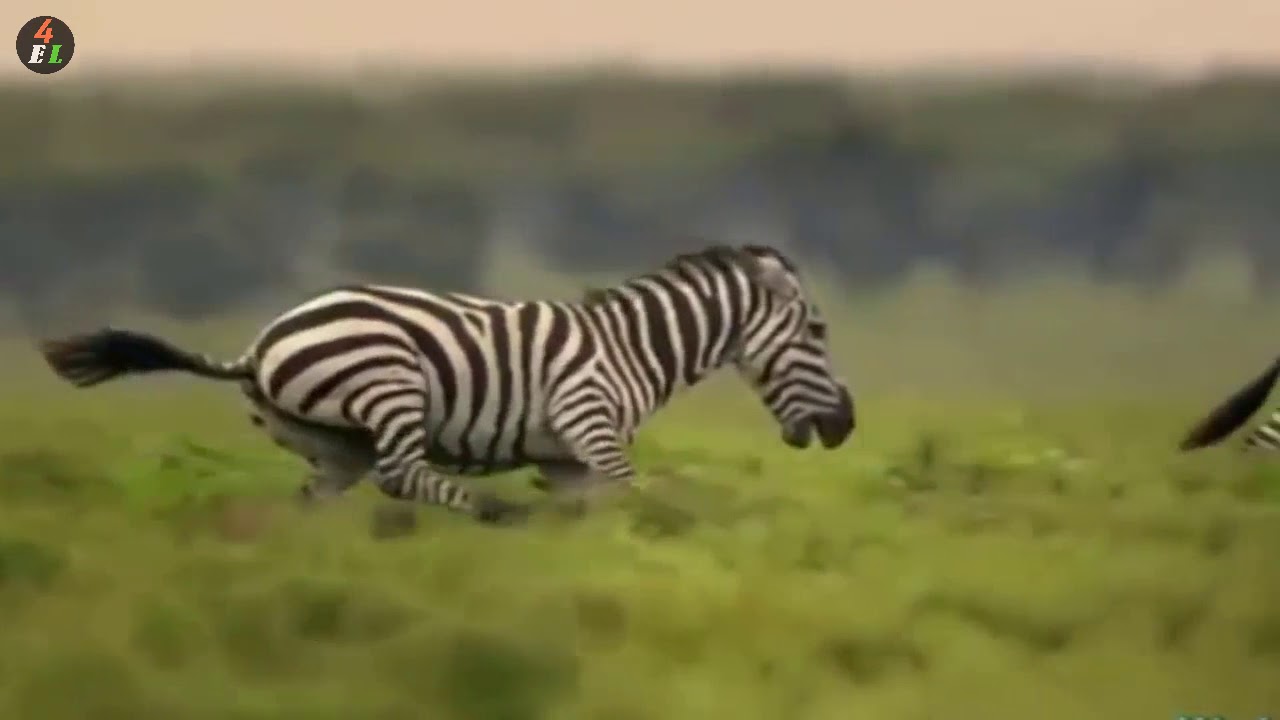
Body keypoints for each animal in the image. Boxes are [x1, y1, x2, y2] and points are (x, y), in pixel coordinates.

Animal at [38, 243, 856, 525]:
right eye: (818, 332)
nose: (846, 426)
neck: (631, 349)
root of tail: (256, 347)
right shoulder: (590, 422)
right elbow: (640, 494)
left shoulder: (565, 459)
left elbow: (592, 513)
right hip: (389, 378)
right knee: (403, 473)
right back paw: (495, 510)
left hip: (330, 446)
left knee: (314, 502)